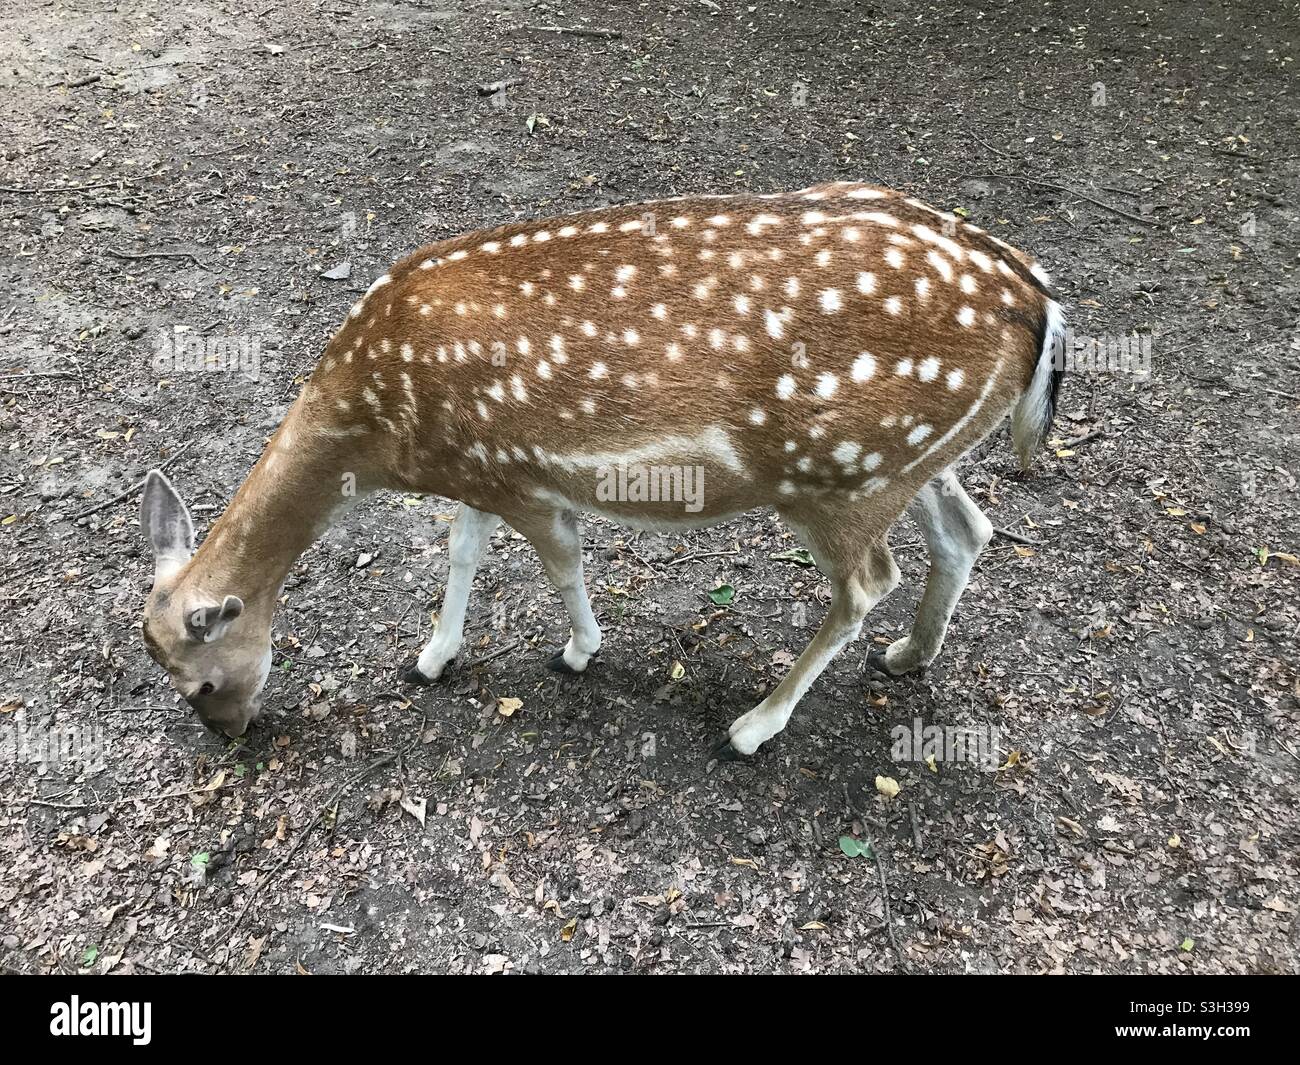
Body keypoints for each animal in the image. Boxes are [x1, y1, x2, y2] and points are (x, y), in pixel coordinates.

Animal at [138, 180, 1064, 758]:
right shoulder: (479, 469)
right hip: (910, 459)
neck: (380, 433)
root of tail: (1040, 301)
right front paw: (432, 656)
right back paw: (910, 655)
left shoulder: (520, 477)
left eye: (198, 682)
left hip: (837, 476)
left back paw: (752, 727)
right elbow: (462, 553)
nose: (233, 733)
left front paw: (579, 651)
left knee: (869, 580)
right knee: (968, 529)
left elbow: (563, 561)